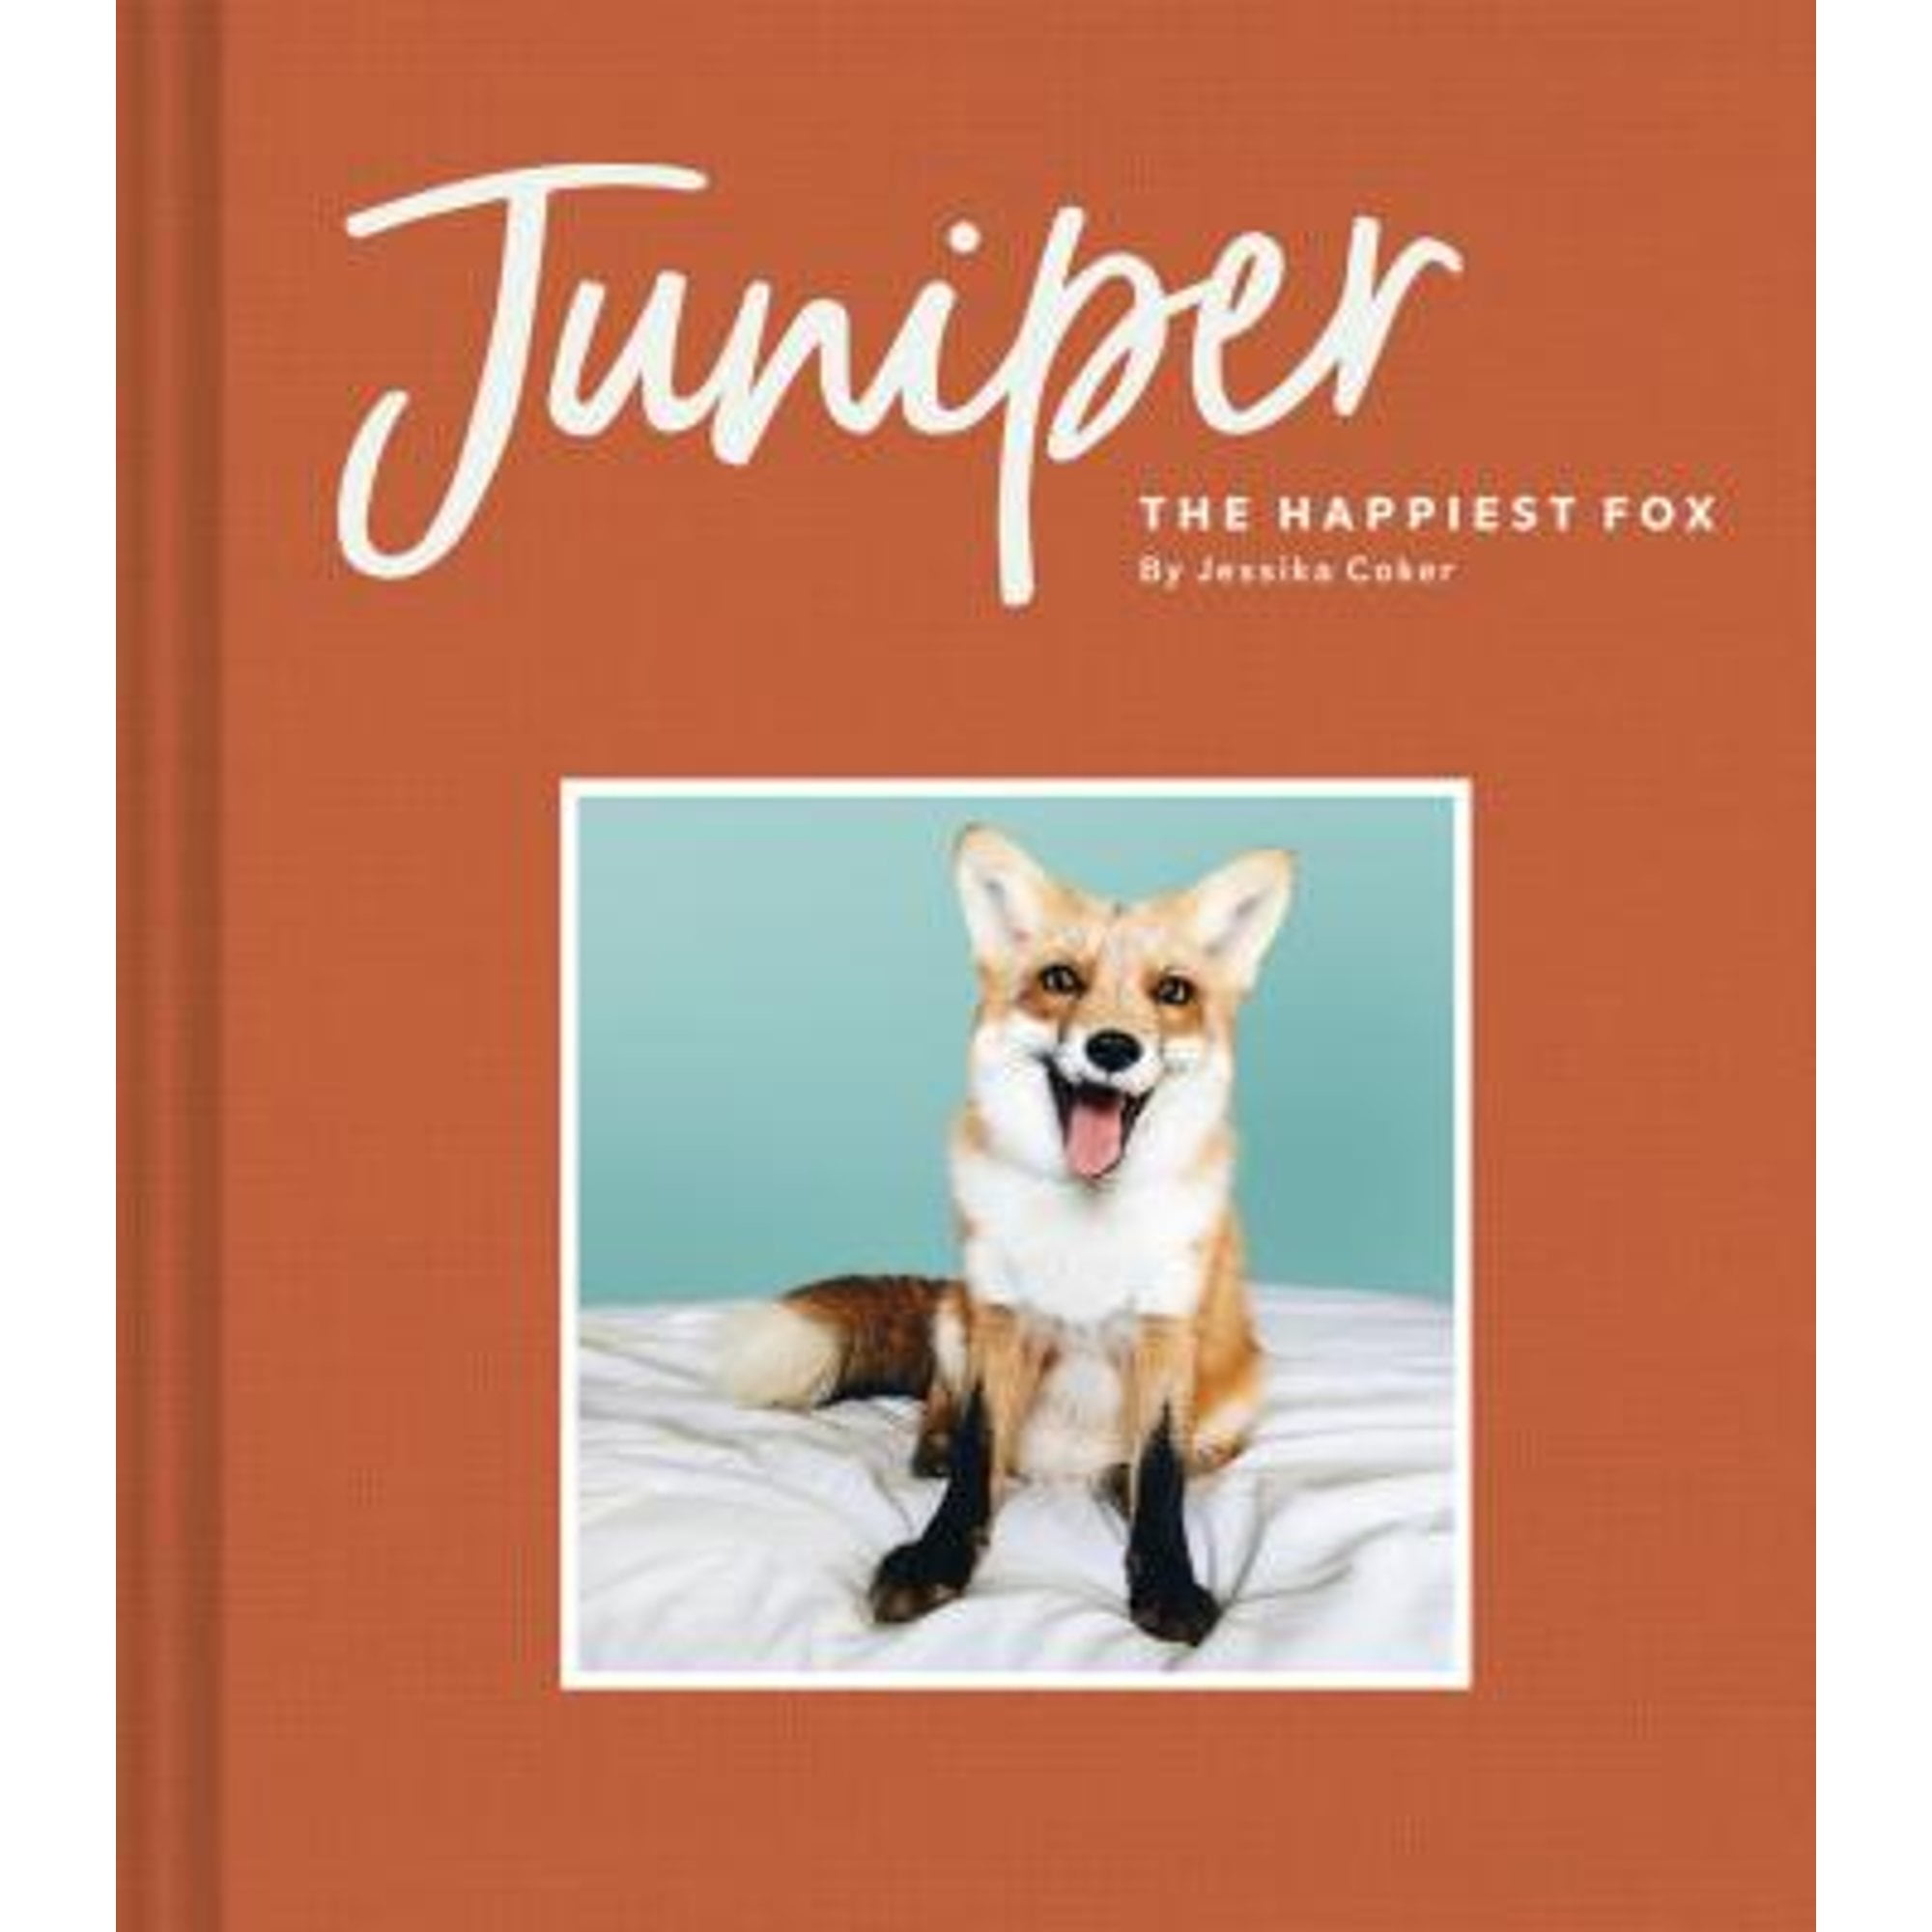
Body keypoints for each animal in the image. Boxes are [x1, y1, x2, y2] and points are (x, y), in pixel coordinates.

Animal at [718, 824, 1294, 1645]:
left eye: (1173, 993)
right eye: (1061, 979)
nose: (1112, 1047)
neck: (1086, 1228)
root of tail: (1059, 1467)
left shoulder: (1165, 1330)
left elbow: (1162, 1476)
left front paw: (1166, 1580)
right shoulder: (1001, 1318)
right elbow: (975, 1456)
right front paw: (937, 1558)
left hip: (1241, 1385)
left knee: (1186, 1456)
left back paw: (1117, 1479)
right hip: (956, 1315)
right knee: (942, 1400)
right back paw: (933, 1446)